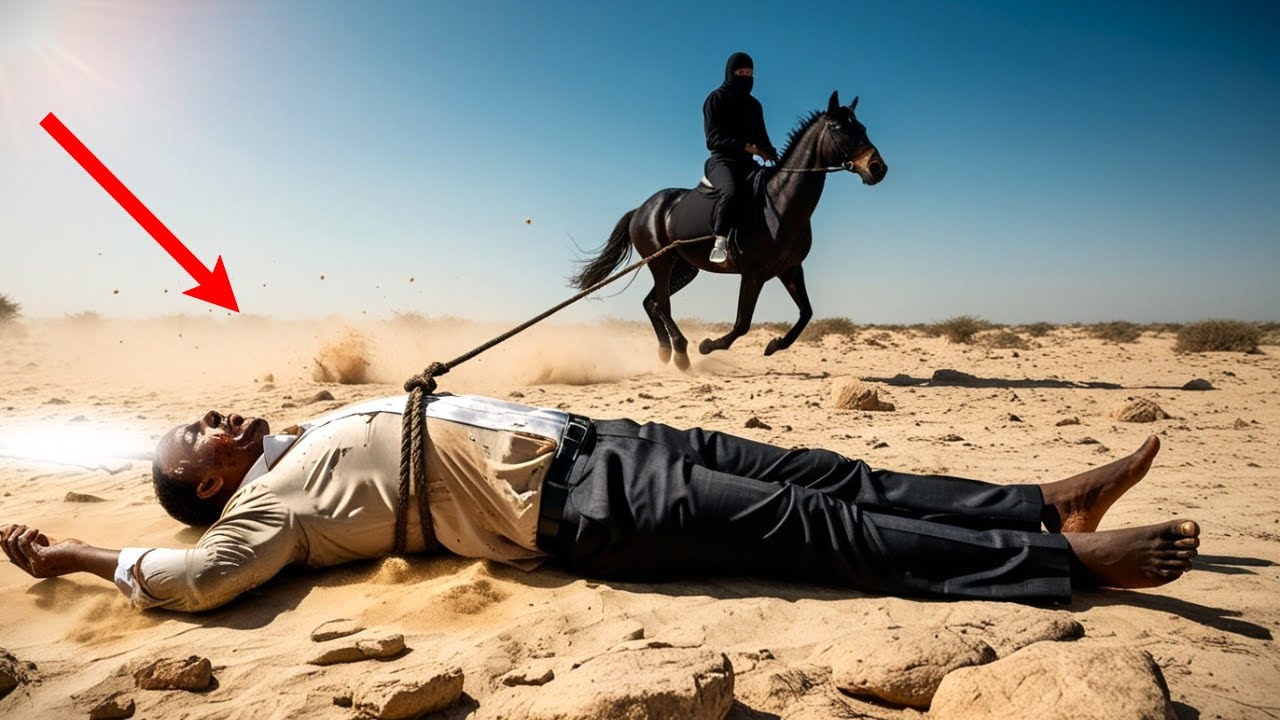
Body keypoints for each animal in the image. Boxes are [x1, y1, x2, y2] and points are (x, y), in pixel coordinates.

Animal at [571, 91, 887, 370]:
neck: (779, 200)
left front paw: (774, 345)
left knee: (651, 303)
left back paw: (665, 352)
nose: (877, 168)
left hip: (684, 268)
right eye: (840, 129)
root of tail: (641, 210)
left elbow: (805, 314)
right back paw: (682, 353)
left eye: (862, 127)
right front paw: (707, 345)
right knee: (662, 306)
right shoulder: (754, 273)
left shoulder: (790, 269)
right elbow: (742, 324)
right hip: (661, 263)